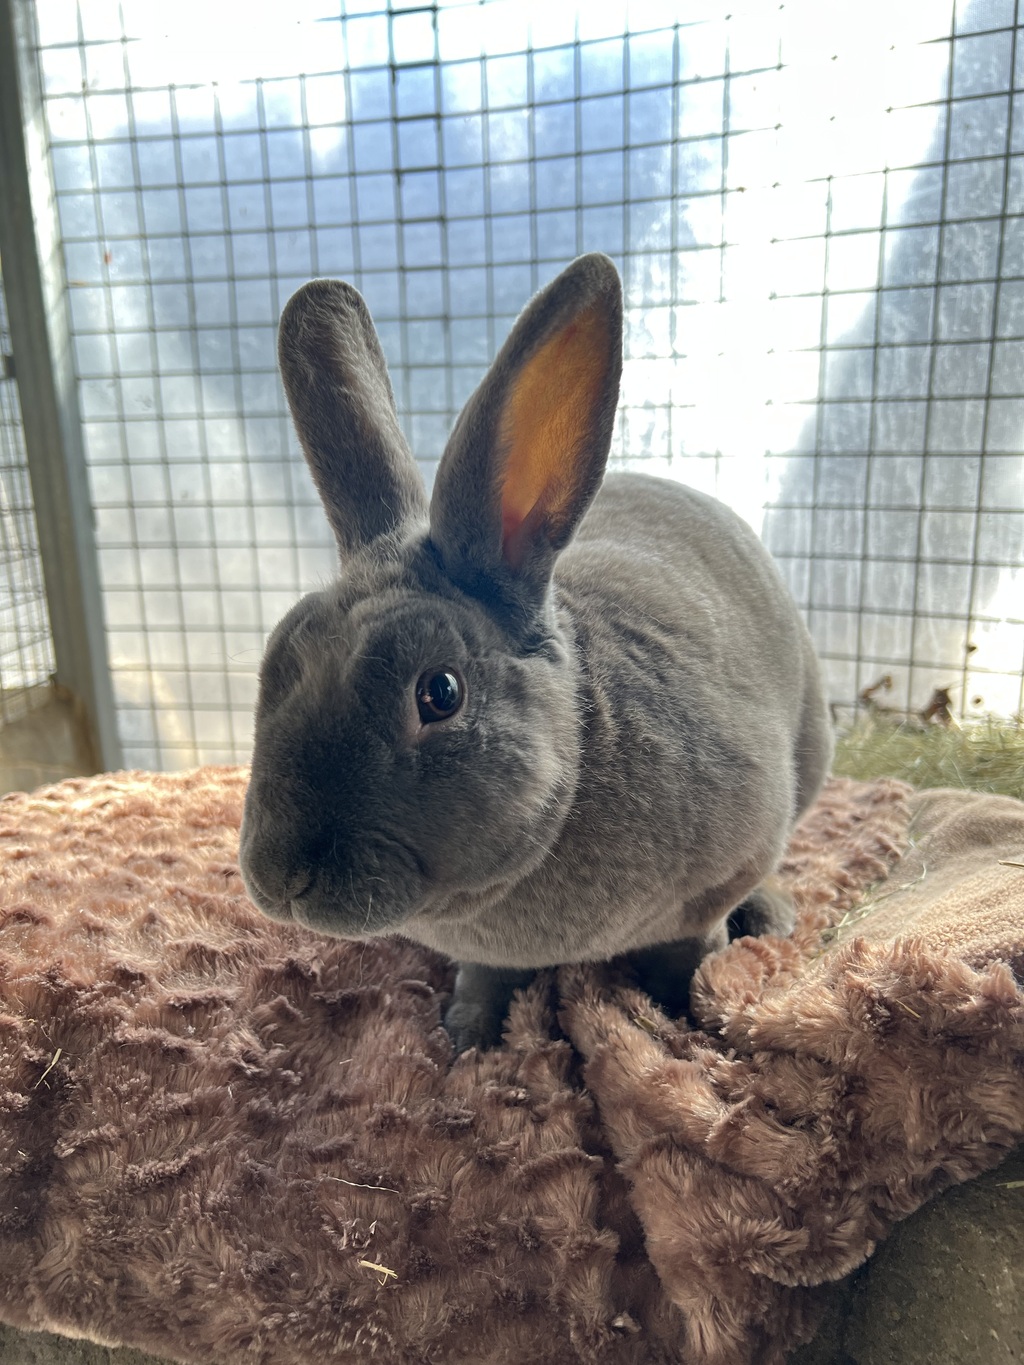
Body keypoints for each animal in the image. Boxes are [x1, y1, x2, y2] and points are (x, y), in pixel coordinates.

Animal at [239, 253, 833, 1054]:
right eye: (275, 664)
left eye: (440, 693)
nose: (277, 876)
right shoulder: (485, 953)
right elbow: (485, 978)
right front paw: (466, 1036)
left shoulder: (713, 885)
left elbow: (690, 952)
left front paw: (686, 1025)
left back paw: (771, 914)